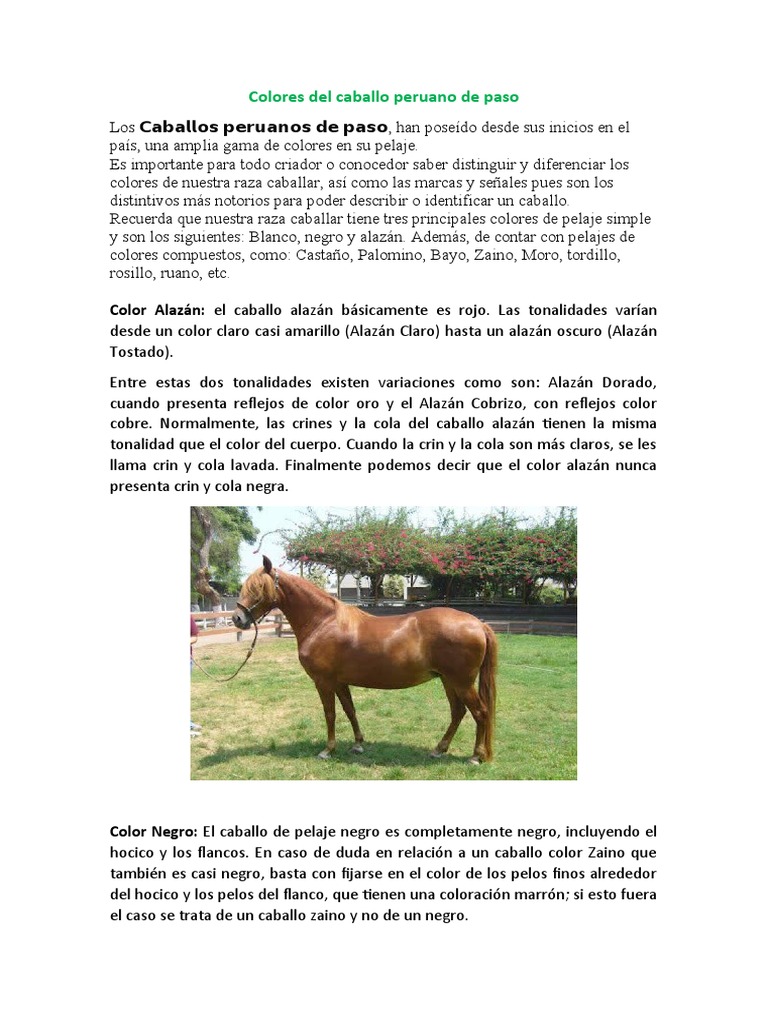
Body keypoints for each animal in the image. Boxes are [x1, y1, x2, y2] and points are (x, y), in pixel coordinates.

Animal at [232, 556, 497, 763]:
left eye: (258, 588)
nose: (237, 618)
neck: (323, 622)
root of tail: (478, 624)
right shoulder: (340, 681)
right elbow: (350, 710)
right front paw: (358, 744)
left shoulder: (323, 682)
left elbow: (330, 713)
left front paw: (328, 750)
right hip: (448, 680)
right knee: (458, 712)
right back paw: (439, 750)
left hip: (461, 682)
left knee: (480, 712)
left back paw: (476, 756)